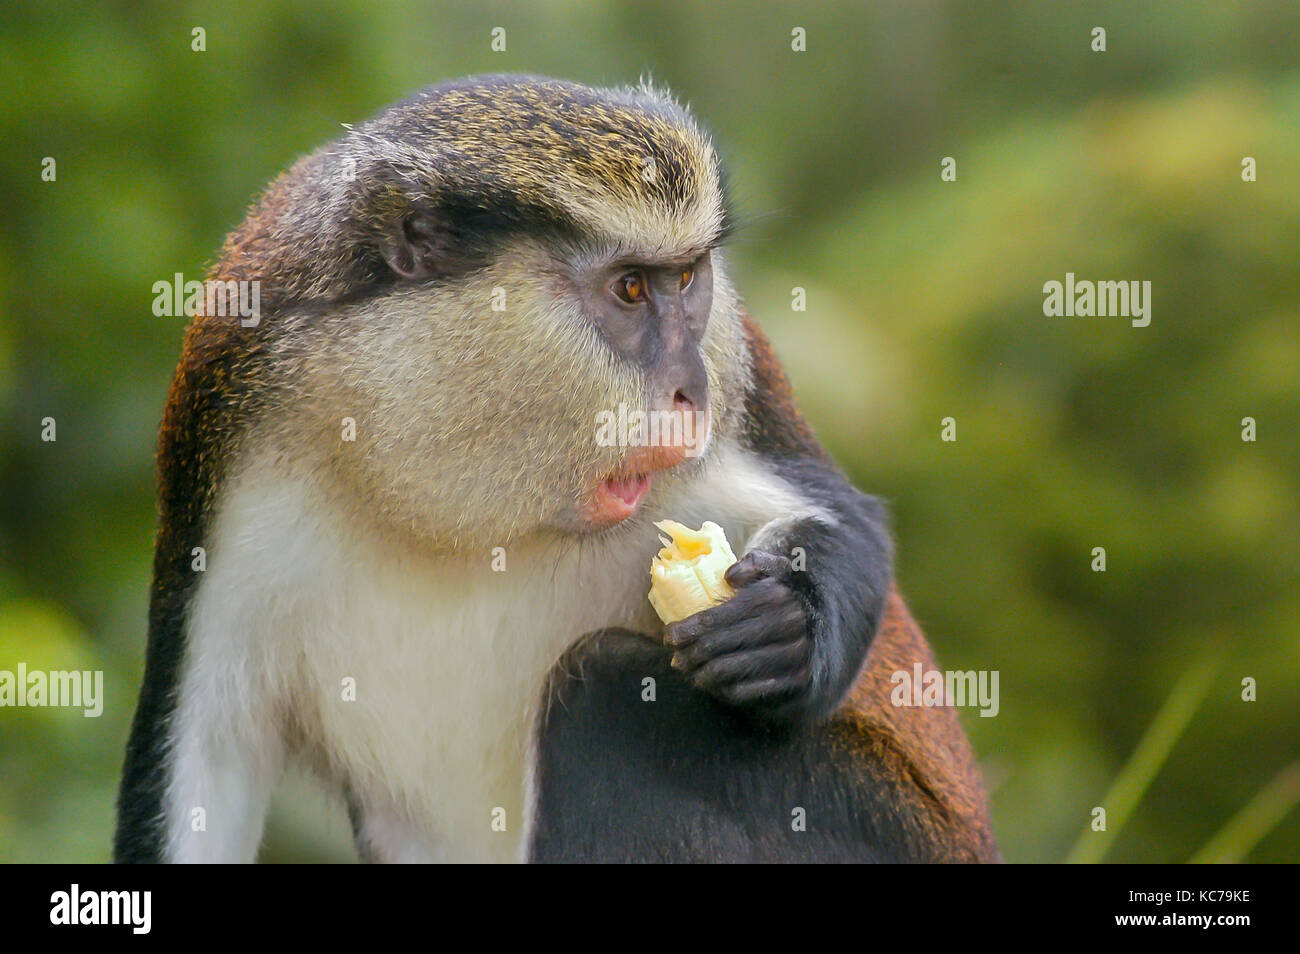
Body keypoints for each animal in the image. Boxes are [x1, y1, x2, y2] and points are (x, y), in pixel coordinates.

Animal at [115, 74, 998, 863]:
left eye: (688, 281)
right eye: (632, 289)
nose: (692, 392)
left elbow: (851, 516)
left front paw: (788, 624)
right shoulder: (228, 421)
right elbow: (204, 760)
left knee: (605, 696)